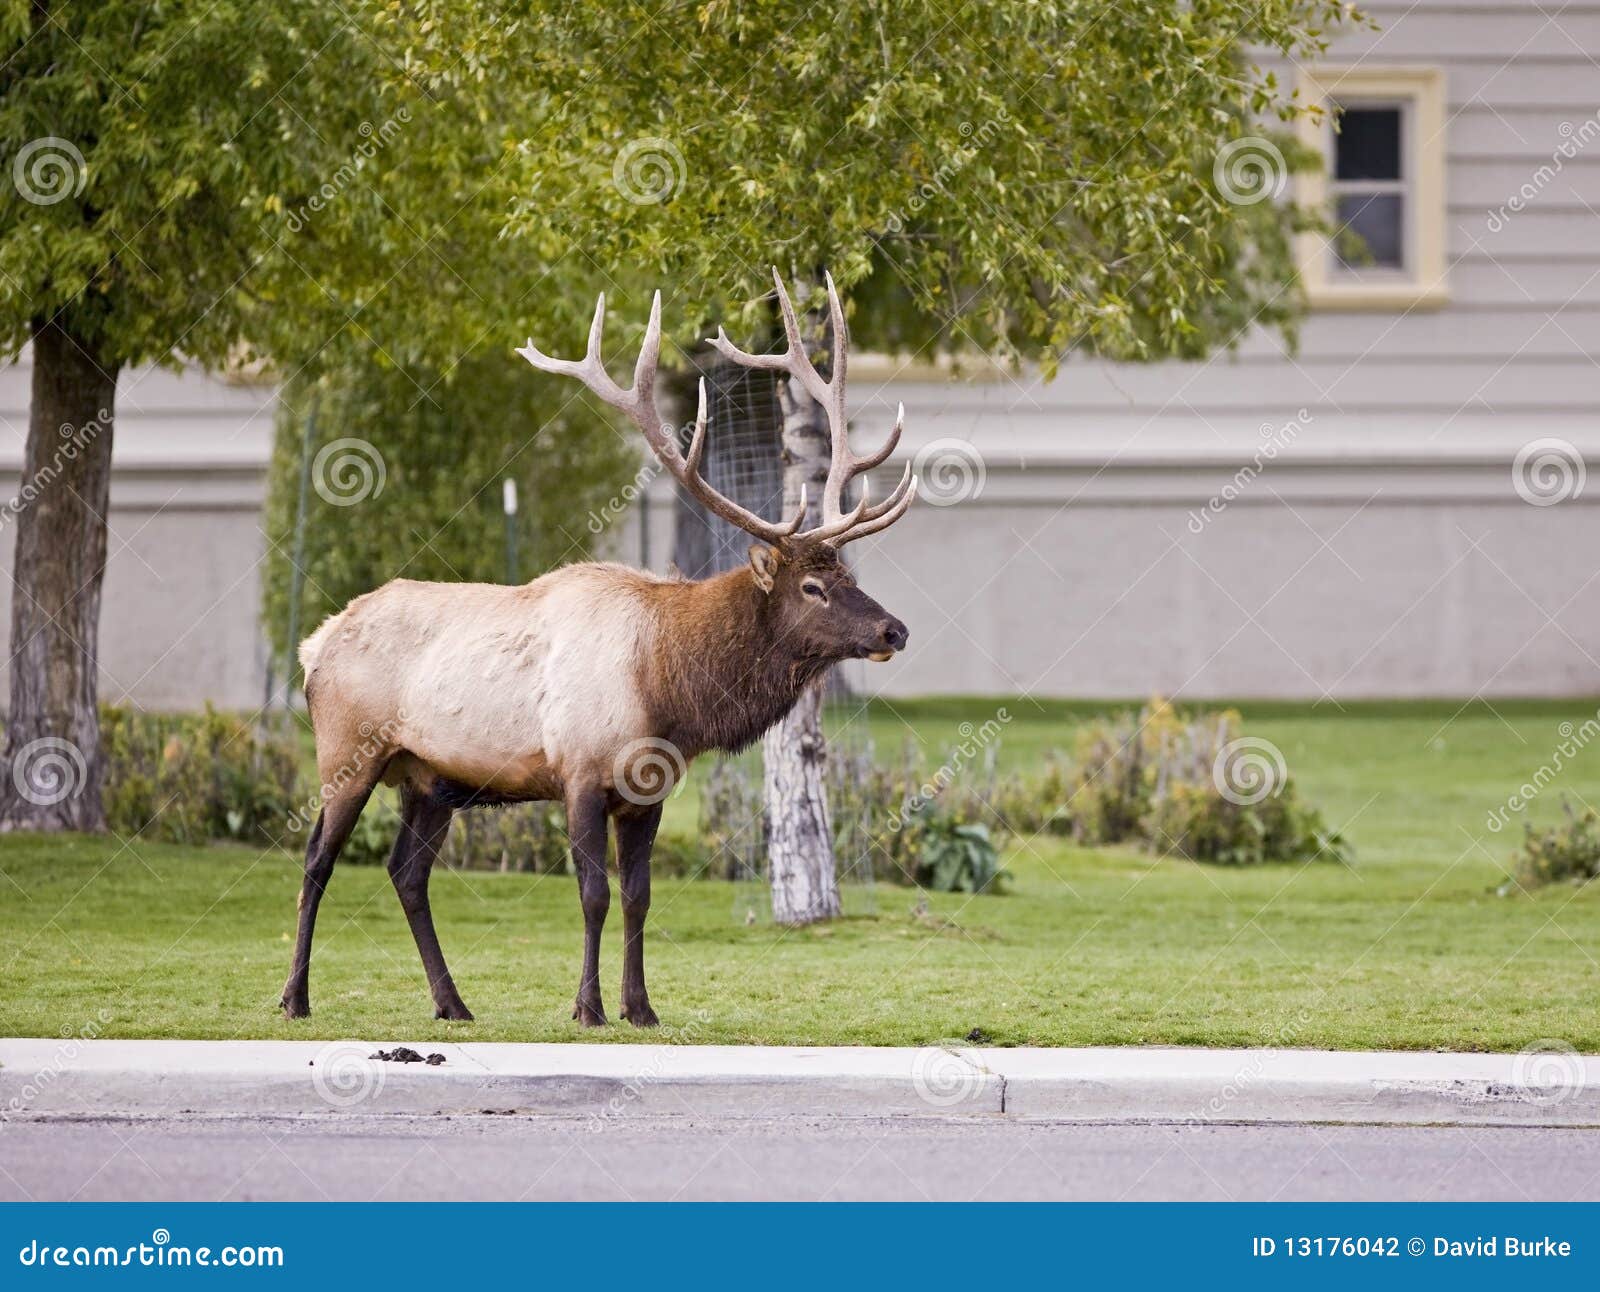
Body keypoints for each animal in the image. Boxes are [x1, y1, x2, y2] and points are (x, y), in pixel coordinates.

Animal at [281, 269, 917, 1028]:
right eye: (815, 586)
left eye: (849, 573)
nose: (894, 630)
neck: (667, 691)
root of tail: (313, 645)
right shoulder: (579, 771)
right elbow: (595, 895)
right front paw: (587, 1007)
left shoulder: (650, 793)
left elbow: (639, 897)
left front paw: (640, 1008)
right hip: (347, 750)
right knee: (315, 860)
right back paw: (295, 998)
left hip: (428, 777)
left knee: (407, 872)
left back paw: (452, 1003)